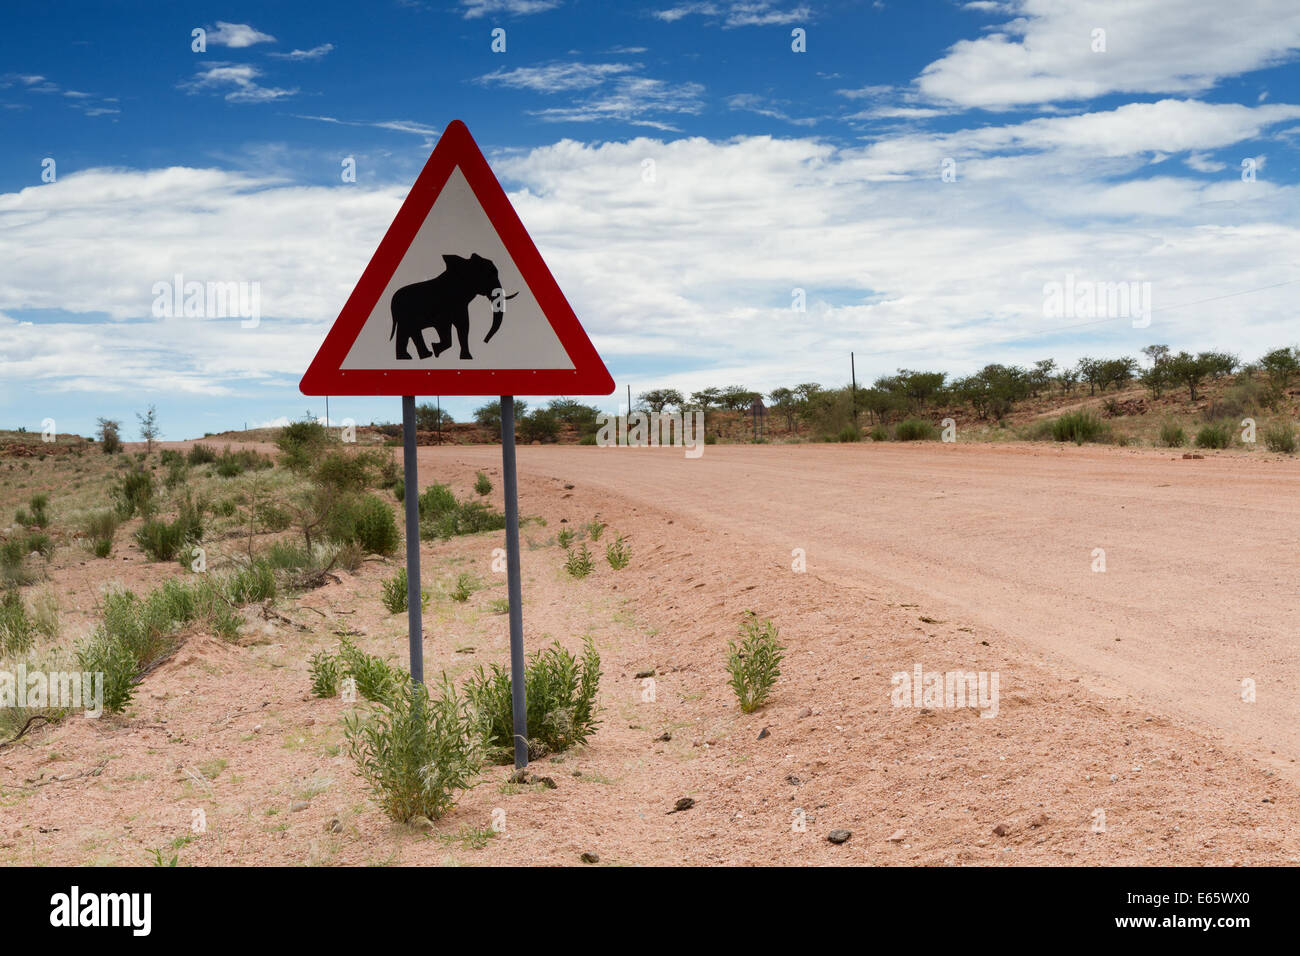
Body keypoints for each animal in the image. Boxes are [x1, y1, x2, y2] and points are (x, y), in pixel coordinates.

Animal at [389, 253, 518, 361]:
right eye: (489, 275)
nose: (485, 341)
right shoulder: (445, 307)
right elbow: (447, 327)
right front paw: (436, 349)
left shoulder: (460, 306)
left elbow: (463, 326)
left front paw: (466, 358)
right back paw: (419, 356)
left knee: (407, 332)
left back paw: (412, 357)